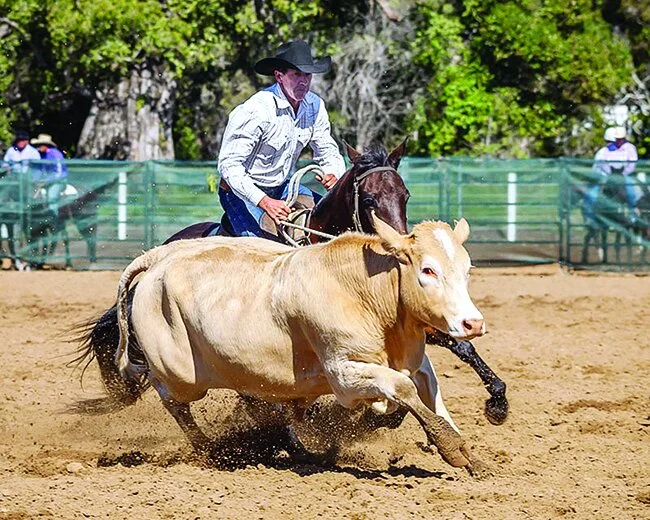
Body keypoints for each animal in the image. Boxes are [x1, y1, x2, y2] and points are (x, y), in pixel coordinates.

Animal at [71, 141, 508, 454]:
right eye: (368, 200)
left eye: (405, 195)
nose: (400, 242)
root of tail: (159, 251)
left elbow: (462, 349)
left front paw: (497, 403)